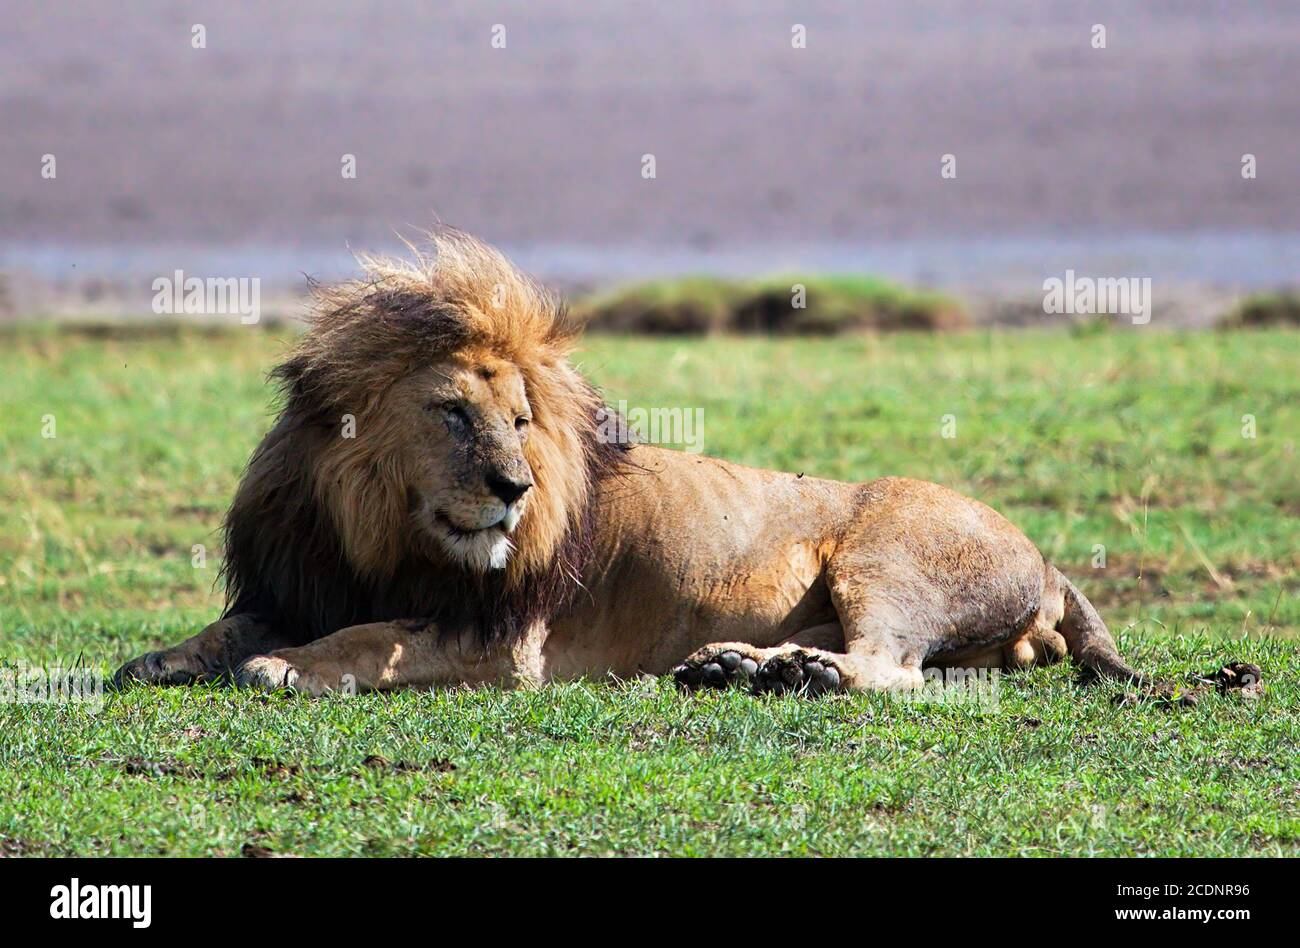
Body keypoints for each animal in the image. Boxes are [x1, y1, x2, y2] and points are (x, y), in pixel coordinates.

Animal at [113, 230, 1164, 699]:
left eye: (521, 422)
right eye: (454, 414)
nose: (516, 489)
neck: (376, 529)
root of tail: (1047, 558)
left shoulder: (506, 639)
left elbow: (365, 638)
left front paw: (284, 667)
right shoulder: (301, 576)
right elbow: (227, 626)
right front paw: (156, 657)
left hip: (889, 558)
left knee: (895, 670)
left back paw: (796, 673)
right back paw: (741, 664)